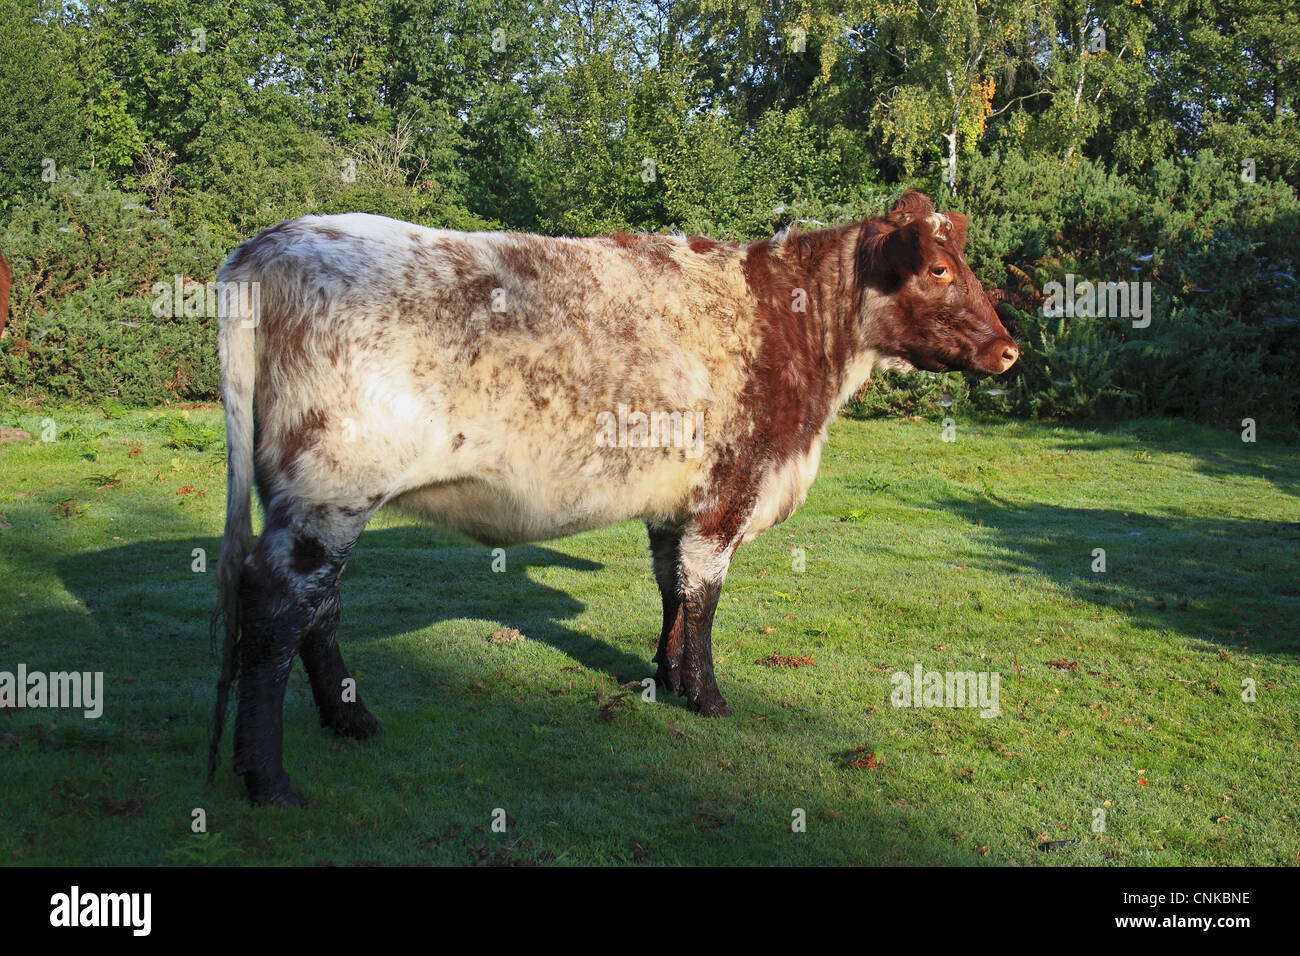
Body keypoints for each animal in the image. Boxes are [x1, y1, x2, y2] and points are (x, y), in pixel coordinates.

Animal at [207, 190, 1019, 805]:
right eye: (939, 268)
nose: (1008, 349)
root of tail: (270, 243)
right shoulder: (730, 490)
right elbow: (704, 593)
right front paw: (709, 697)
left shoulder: (675, 497)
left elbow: (671, 588)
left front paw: (665, 676)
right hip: (330, 488)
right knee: (278, 608)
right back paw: (268, 778)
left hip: (320, 499)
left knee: (320, 606)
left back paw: (351, 721)